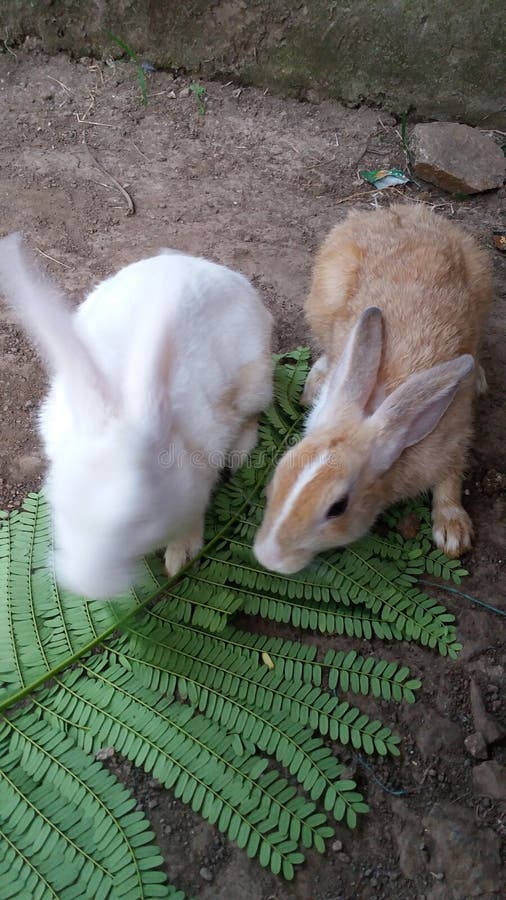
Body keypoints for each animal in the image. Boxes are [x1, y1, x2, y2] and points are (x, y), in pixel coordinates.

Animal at [0, 234, 272, 598]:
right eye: (60, 507)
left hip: (256, 380)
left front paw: (180, 556)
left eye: (137, 520)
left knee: (254, 414)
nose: (87, 585)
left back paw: (240, 453)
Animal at [254, 204, 492, 575]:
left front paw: (453, 534)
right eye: (282, 470)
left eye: (338, 507)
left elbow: (451, 479)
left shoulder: (452, 434)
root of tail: (398, 212)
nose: (268, 557)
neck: (375, 408)